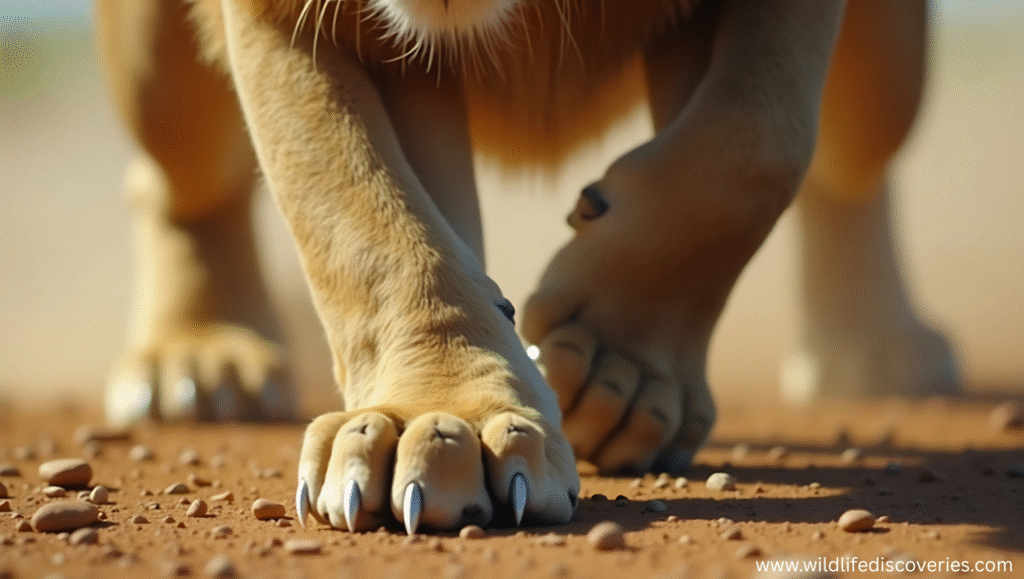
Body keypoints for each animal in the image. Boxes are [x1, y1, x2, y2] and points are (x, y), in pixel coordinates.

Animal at [94, 0, 958, 532]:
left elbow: (759, 138)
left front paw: (617, 372)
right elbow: (373, 219)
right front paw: (434, 418)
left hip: (892, 60)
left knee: (851, 162)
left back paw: (879, 353)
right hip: (156, 70)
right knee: (176, 179)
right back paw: (200, 366)